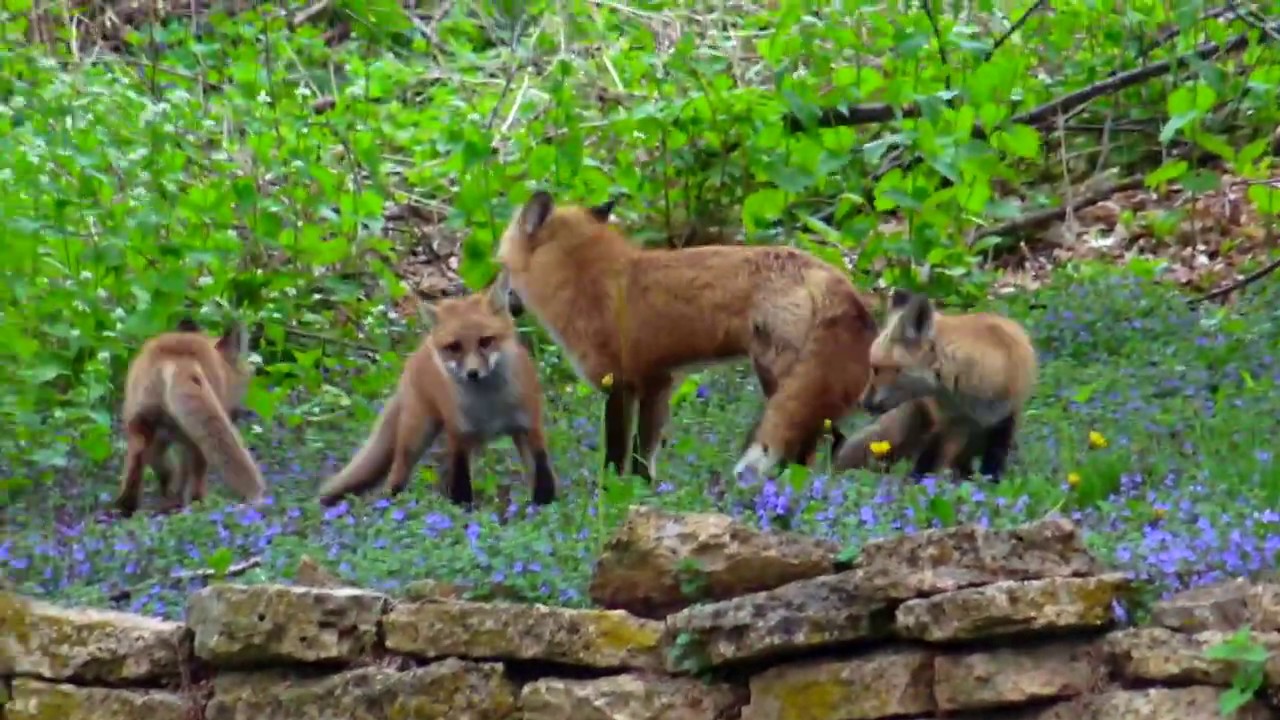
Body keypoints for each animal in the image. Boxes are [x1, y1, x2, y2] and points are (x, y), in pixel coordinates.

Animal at [115, 317, 267, 517]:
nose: (243, 413)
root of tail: (172, 357)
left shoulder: (162, 439)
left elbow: (170, 471)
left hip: (141, 428)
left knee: (137, 475)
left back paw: (130, 509)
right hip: (198, 436)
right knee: (197, 480)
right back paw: (200, 507)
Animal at [316, 274, 558, 508]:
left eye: (486, 341)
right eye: (454, 347)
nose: (472, 373)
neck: (491, 406)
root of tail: (419, 349)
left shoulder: (531, 427)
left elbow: (543, 477)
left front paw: (543, 507)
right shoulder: (459, 437)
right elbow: (461, 490)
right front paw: (463, 515)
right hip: (417, 438)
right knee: (396, 477)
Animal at [493, 189, 879, 484]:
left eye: (501, 268)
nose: (501, 302)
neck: (586, 278)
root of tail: (830, 275)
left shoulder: (616, 383)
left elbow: (616, 454)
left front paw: (608, 495)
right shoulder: (657, 382)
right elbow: (643, 454)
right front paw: (642, 491)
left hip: (779, 378)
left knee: (809, 444)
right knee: (825, 441)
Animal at [853, 288, 1038, 481]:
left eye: (875, 369)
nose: (861, 402)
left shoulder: (1005, 420)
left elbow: (992, 468)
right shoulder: (947, 423)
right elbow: (925, 465)